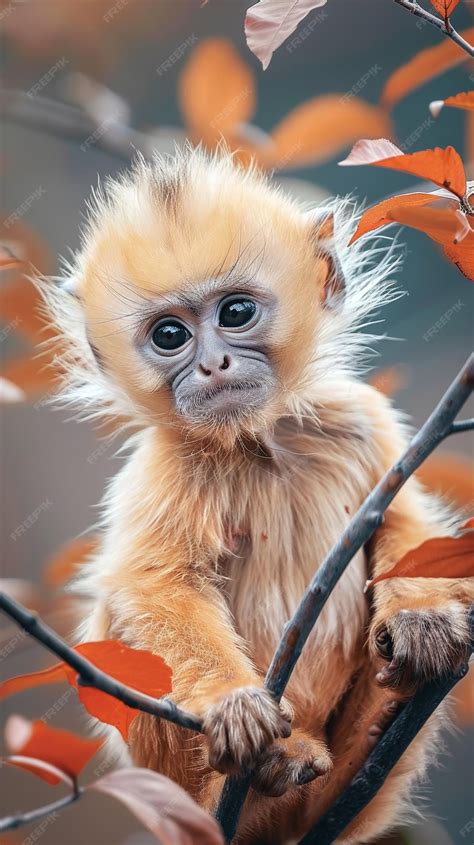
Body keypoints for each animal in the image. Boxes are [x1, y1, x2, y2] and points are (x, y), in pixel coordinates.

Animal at [42, 148, 472, 844]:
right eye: (170, 336)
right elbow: (153, 583)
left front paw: (423, 618)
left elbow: (402, 521)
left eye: (236, 314)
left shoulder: (359, 416)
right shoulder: (167, 463)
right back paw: (267, 772)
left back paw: (376, 728)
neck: (260, 443)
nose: (213, 364)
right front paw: (233, 703)